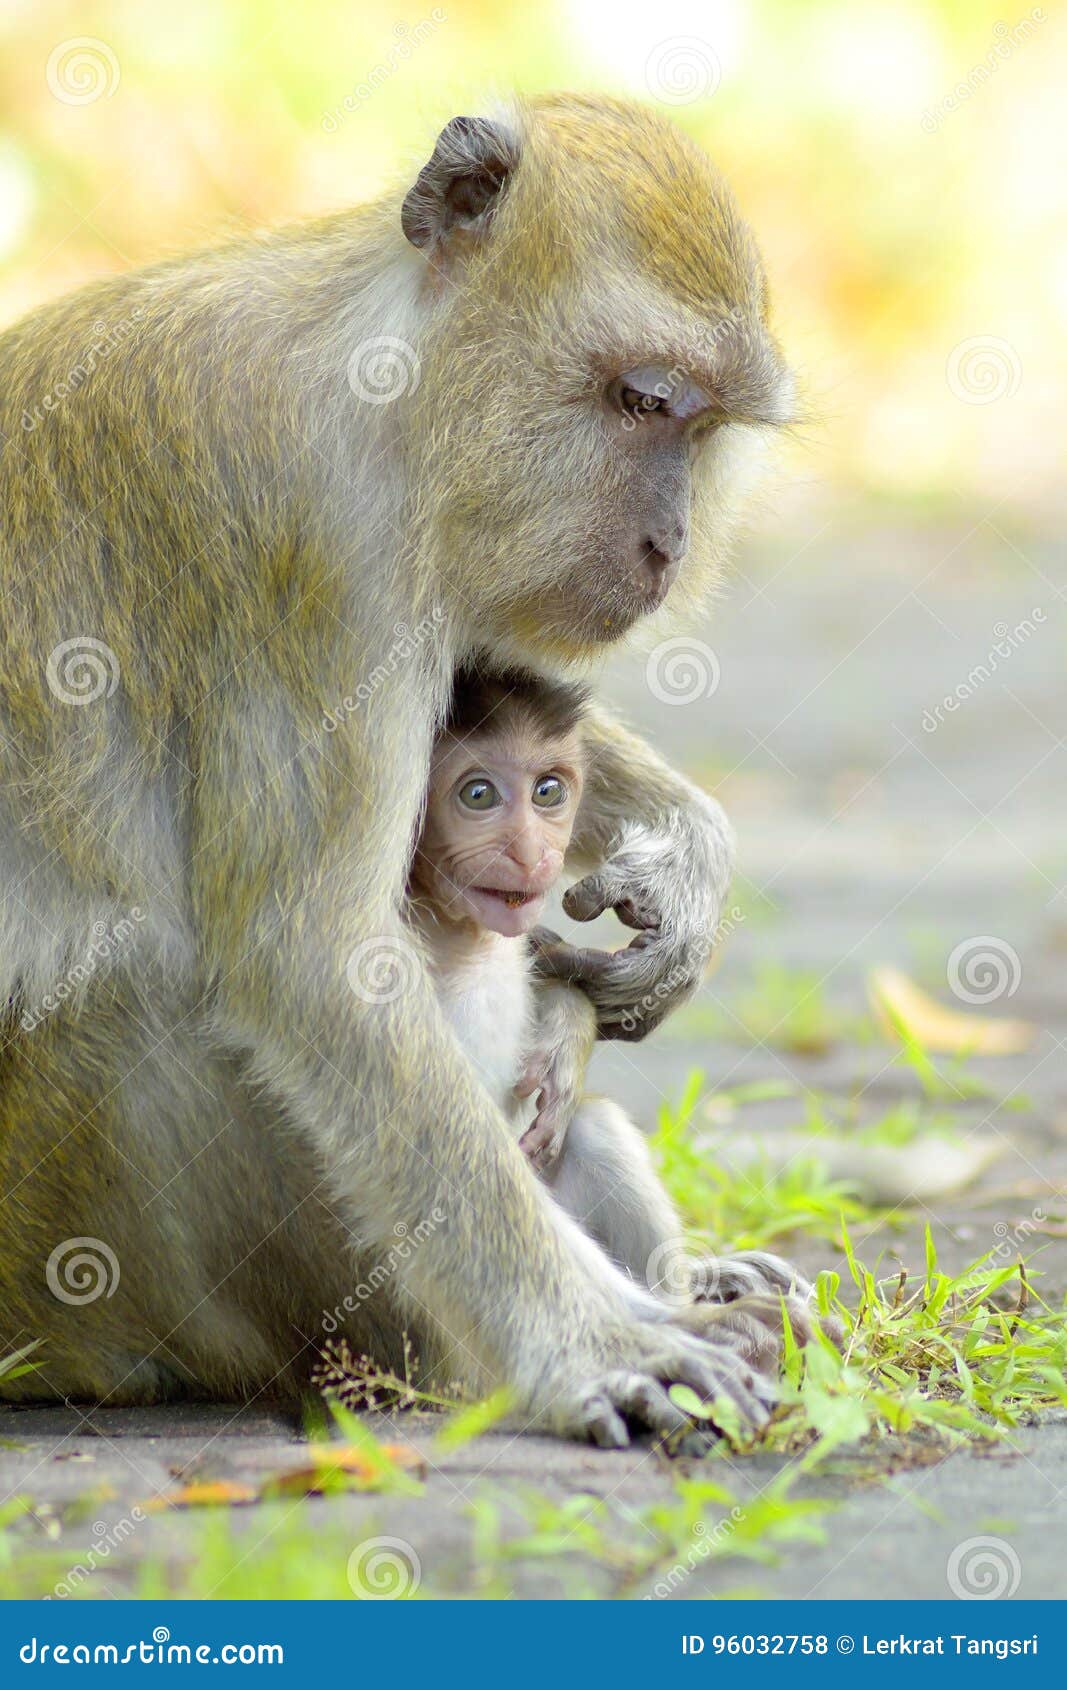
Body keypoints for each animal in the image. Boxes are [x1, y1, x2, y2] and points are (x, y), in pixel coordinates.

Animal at [407, 661, 815, 1328]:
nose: (531, 851)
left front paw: (563, 1042)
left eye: (548, 791)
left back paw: (691, 1302)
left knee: (593, 1125)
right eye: (478, 795)